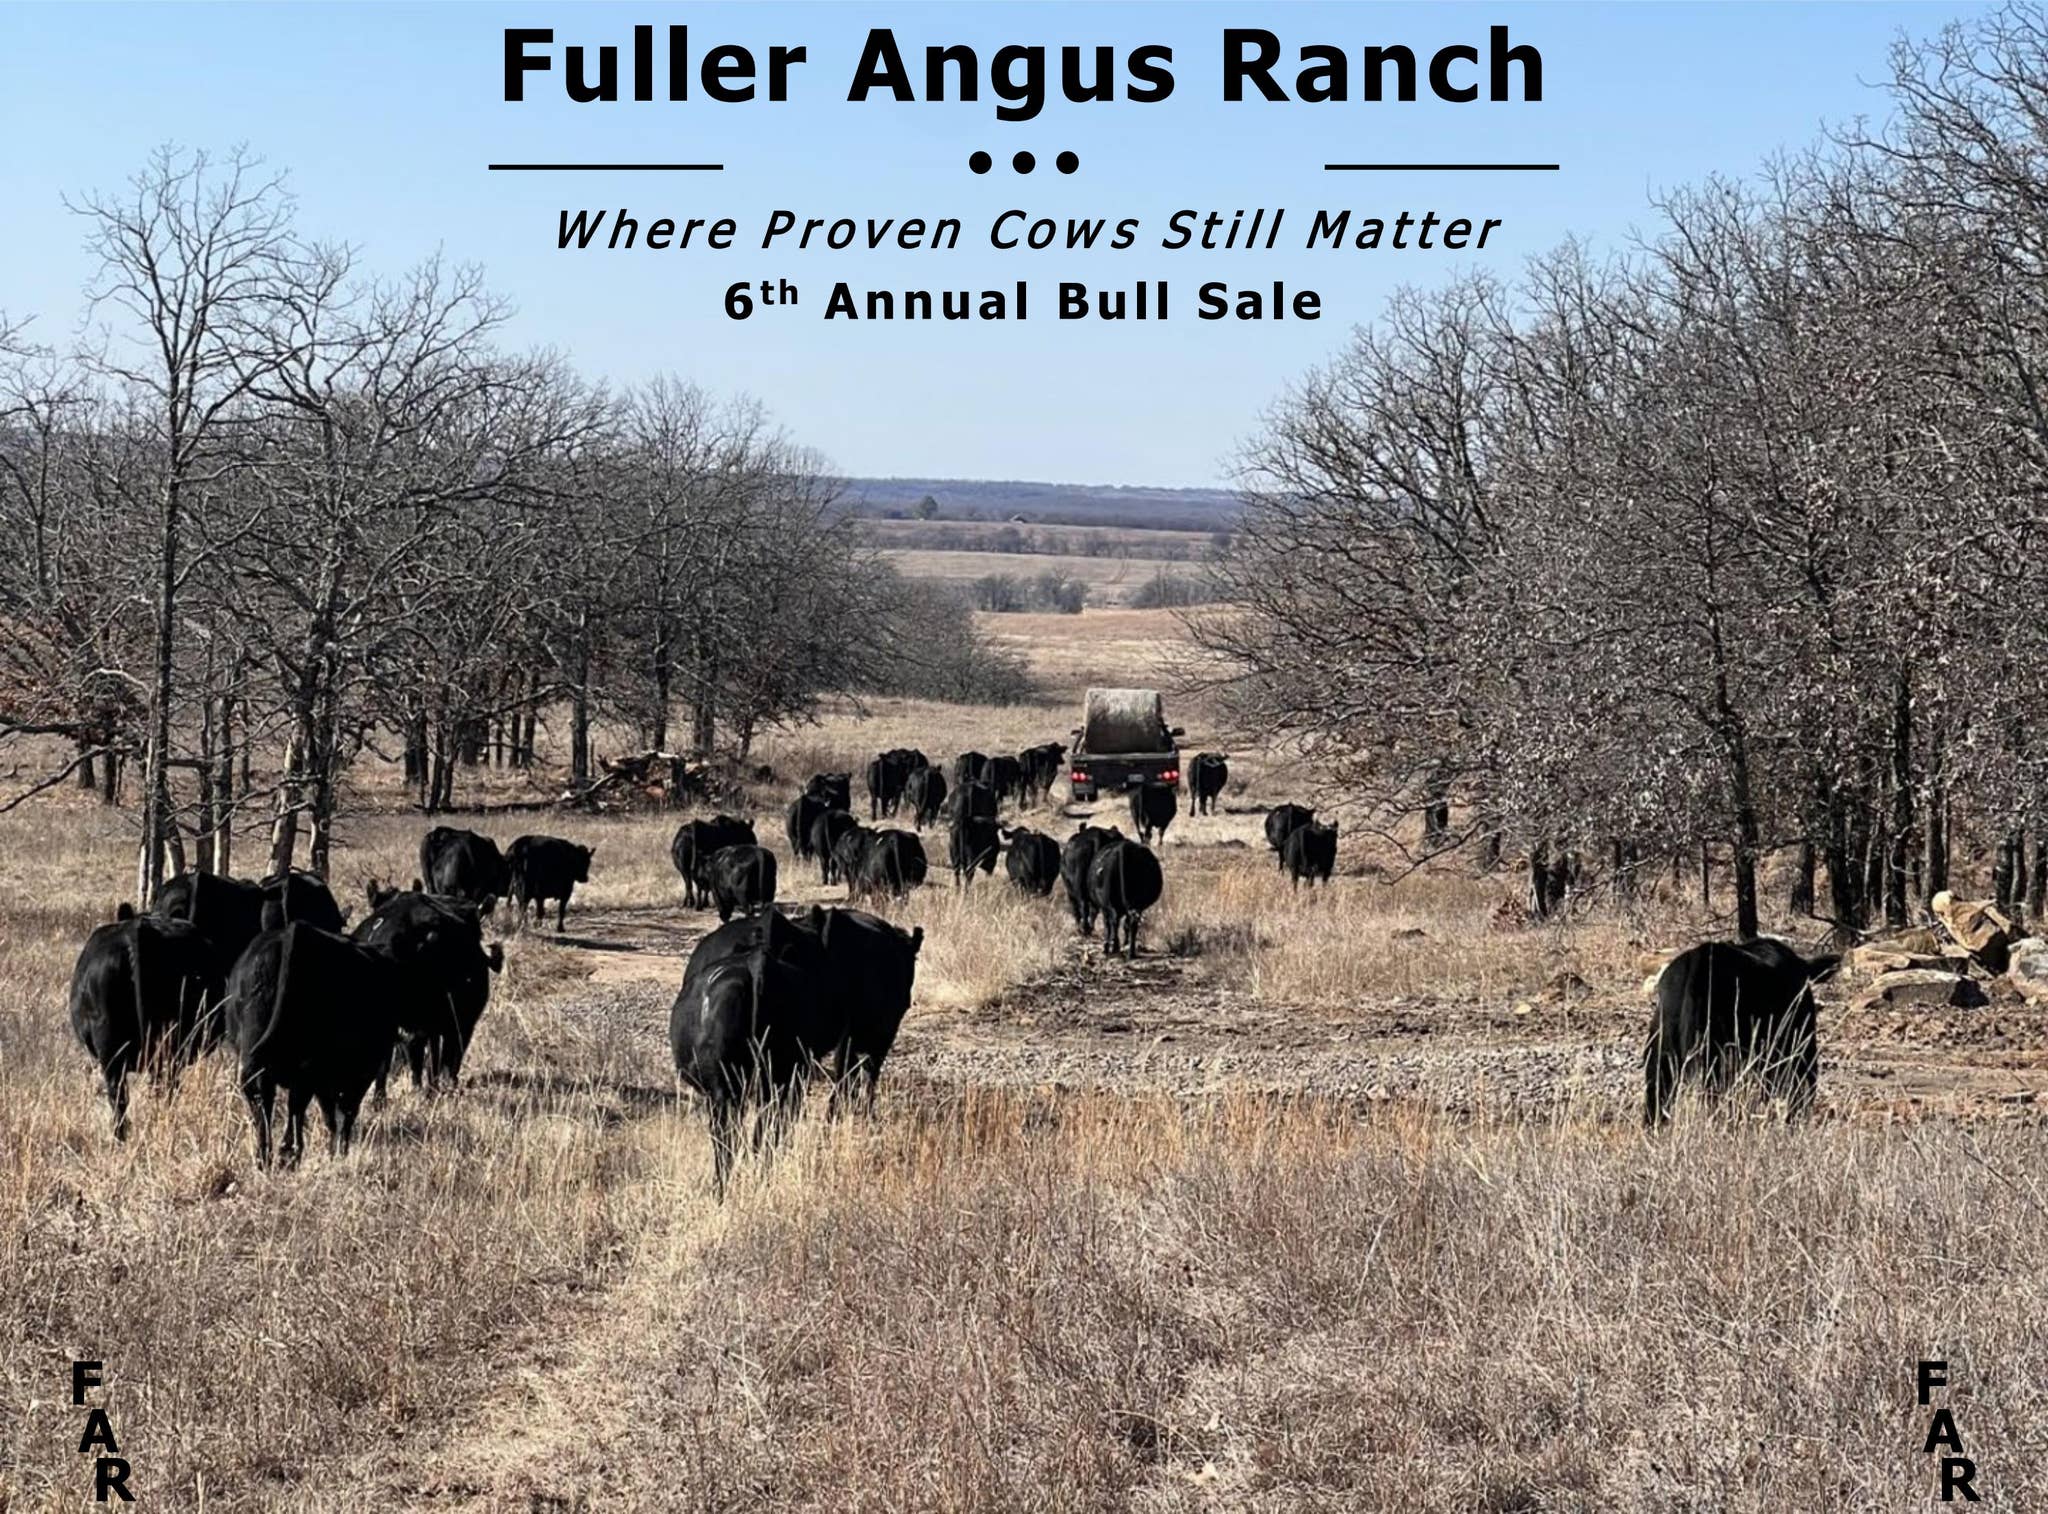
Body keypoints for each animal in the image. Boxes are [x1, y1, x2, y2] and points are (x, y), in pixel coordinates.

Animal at [225, 917, 412, 1165]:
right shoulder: (359, 1074)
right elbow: (344, 1112)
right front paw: (339, 1150)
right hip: (310, 1065)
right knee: (297, 1103)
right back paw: (289, 1154)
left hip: (256, 1051)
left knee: (264, 1101)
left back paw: (265, 1156)